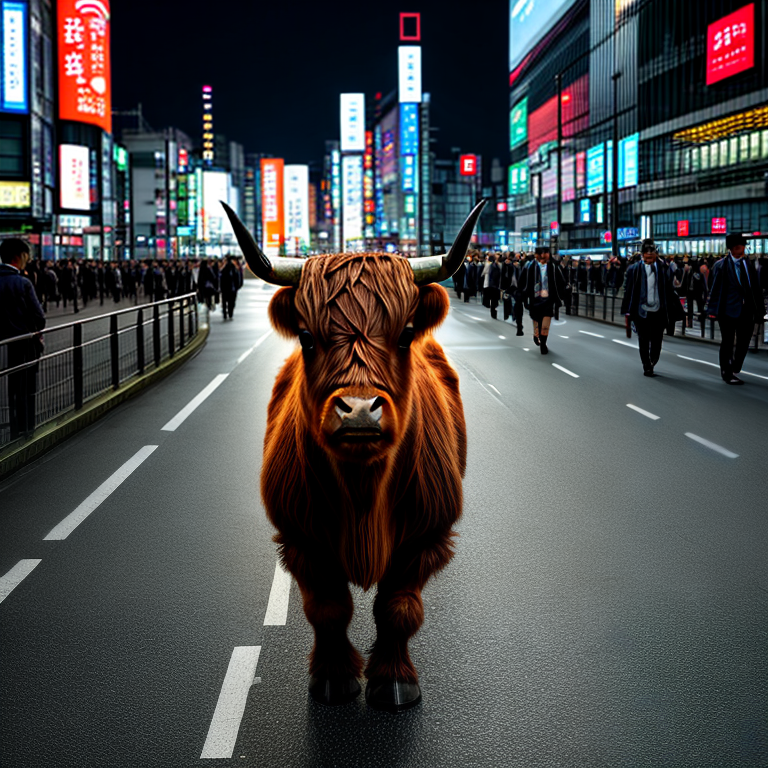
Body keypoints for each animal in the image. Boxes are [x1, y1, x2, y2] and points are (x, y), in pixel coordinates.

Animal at [222, 200, 485, 713]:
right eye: (306, 337)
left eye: (405, 334)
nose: (359, 410)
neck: (363, 493)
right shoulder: (302, 539)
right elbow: (327, 609)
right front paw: (333, 678)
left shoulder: (425, 536)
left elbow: (398, 609)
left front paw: (396, 683)